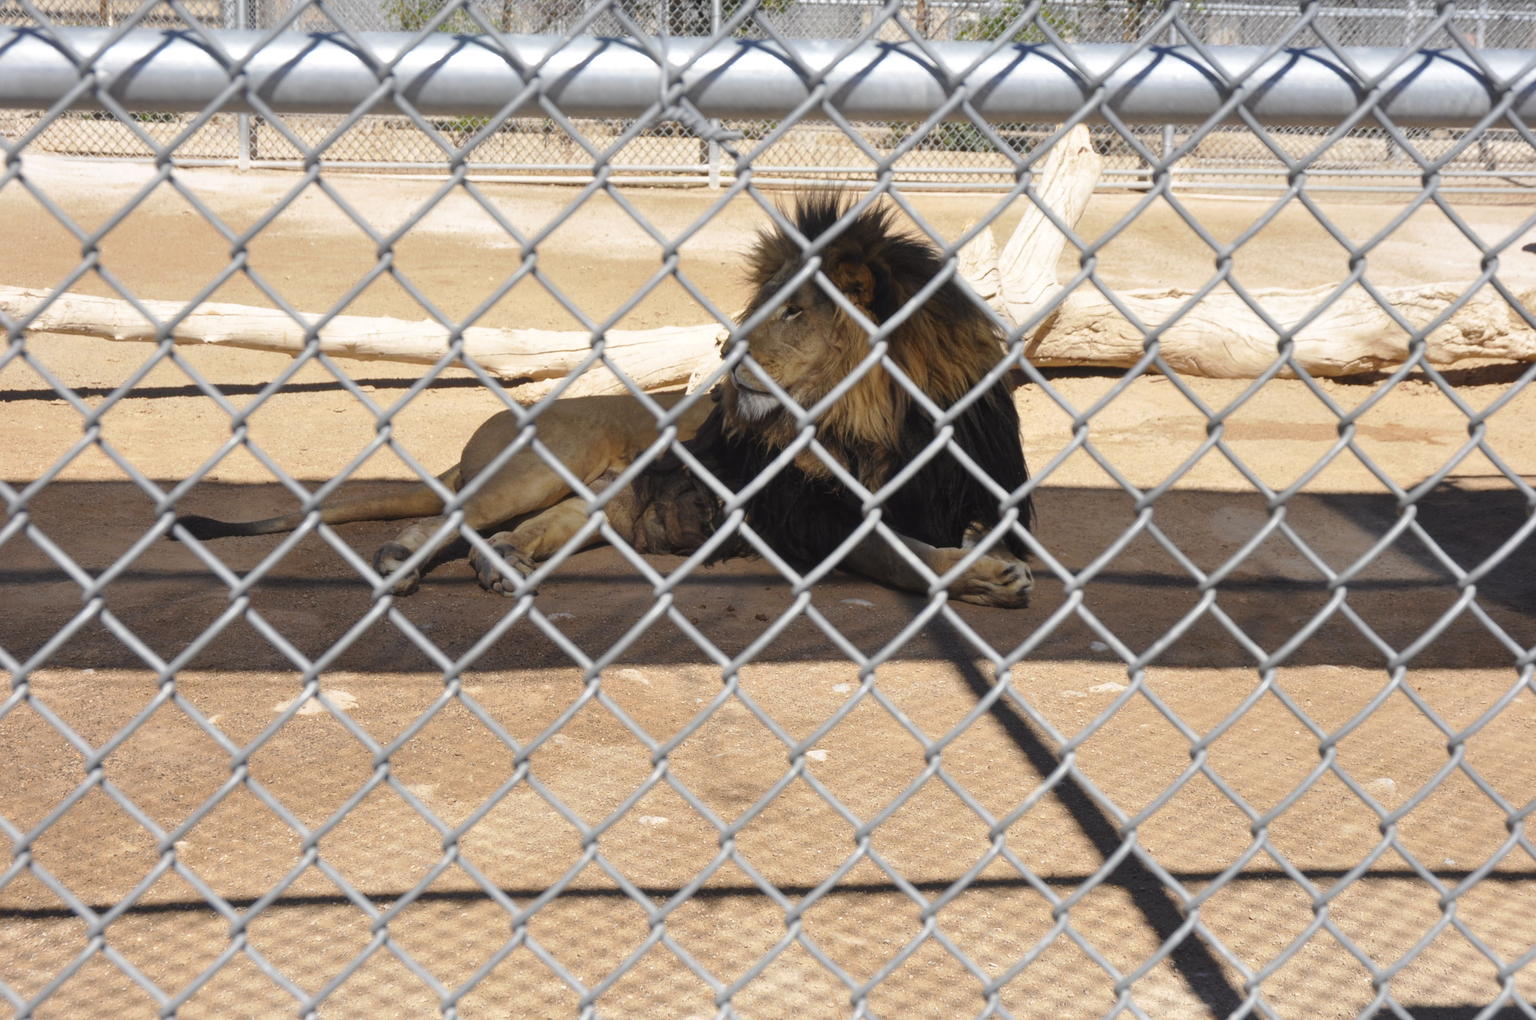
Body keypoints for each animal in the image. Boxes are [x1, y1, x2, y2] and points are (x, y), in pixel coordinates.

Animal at [172, 193, 1035, 607]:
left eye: (794, 312)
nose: (725, 350)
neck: (884, 417)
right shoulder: (804, 517)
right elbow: (900, 554)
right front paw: (980, 575)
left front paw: (985, 556)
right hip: (552, 458)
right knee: (446, 519)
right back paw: (400, 562)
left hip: (600, 502)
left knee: (511, 535)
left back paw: (505, 569)